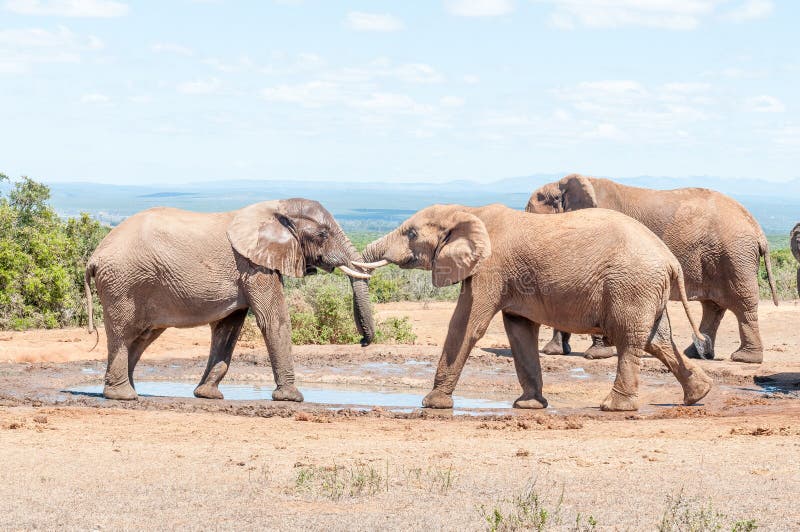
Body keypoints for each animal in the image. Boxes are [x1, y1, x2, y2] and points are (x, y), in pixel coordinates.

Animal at [84, 198, 374, 401]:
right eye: (323, 234)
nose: (363, 341)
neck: (275, 207)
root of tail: (94, 257)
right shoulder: (254, 266)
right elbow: (274, 320)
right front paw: (292, 398)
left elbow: (229, 328)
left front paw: (207, 395)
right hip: (123, 282)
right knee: (123, 332)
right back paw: (123, 396)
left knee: (143, 335)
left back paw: (129, 391)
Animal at [357, 203, 713, 412]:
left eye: (411, 233)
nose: (364, 341)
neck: (468, 211)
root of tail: (670, 260)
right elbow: (519, 331)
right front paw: (529, 406)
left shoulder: (490, 268)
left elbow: (466, 325)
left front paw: (432, 404)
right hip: (645, 288)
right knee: (658, 340)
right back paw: (699, 395)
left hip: (631, 284)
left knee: (630, 338)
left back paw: (614, 407)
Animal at [526, 174, 778, 364]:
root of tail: (757, 229)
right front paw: (553, 352)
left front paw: (594, 355)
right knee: (713, 306)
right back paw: (695, 354)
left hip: (735, 256)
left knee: (741, 302)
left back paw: (744, 358)